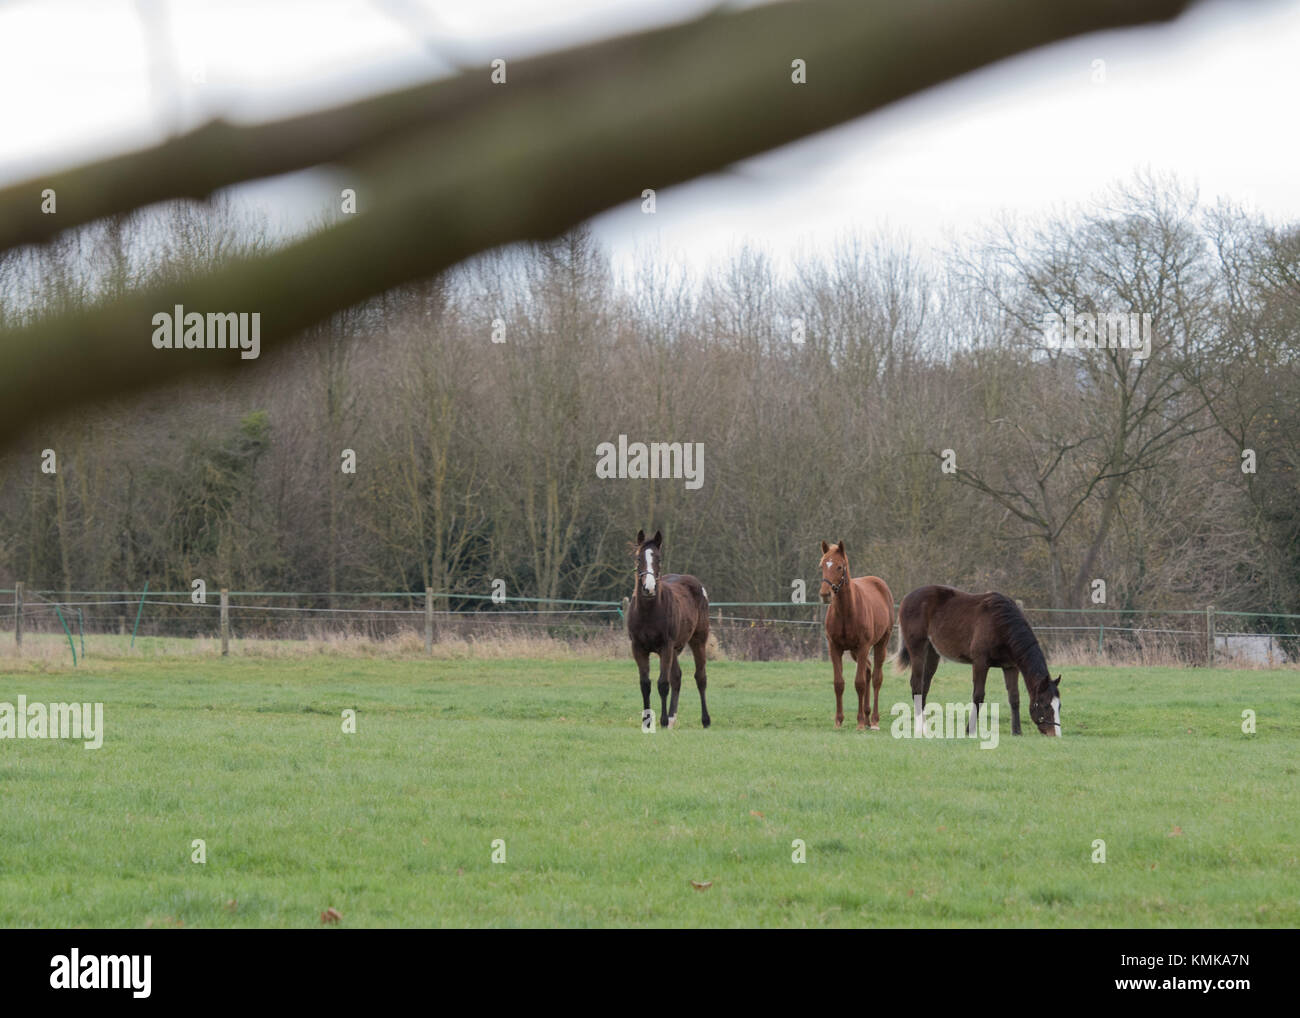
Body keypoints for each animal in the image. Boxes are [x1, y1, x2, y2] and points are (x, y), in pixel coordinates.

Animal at [625, 529, 711, 730]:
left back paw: (705, 720)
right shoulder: (638, 648)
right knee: (677, 677)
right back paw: (672, 718)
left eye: (658, 558)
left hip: (698, 640)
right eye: (638, 558)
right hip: (675, 648)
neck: (648, 612)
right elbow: (645, 684)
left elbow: (663, 684)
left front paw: (663, 721)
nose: (648, 588)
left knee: (700, 677)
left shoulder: (665, 646)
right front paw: (648, 722)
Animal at [818, 540, 895, 730]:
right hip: (854, 651)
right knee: (867, 670)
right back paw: (866, 716)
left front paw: (859, 722)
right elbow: (839, 683)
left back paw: (872, 720)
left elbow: (859, 683)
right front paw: (839, 721)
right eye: (822, 565)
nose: (825, 594)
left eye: (839, 566)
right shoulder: (834, 648)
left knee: (875, 678)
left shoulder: (863, 646)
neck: (846, 612)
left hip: (880, 644)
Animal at [895, 585, 1061, 737]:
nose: (1055, 734)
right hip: (917, 649)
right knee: (917, 685)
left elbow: (1014, 697)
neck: (1000, 624)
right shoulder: (980, 663)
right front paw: (970, 730)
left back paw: (925, 726)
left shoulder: (1010, 667)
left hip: (932, 653)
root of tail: (907, 597)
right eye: (1046, 705)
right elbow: (978, 696)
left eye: (1059, 705)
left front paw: (1017, 731)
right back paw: (920, 728)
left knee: (924, 687)